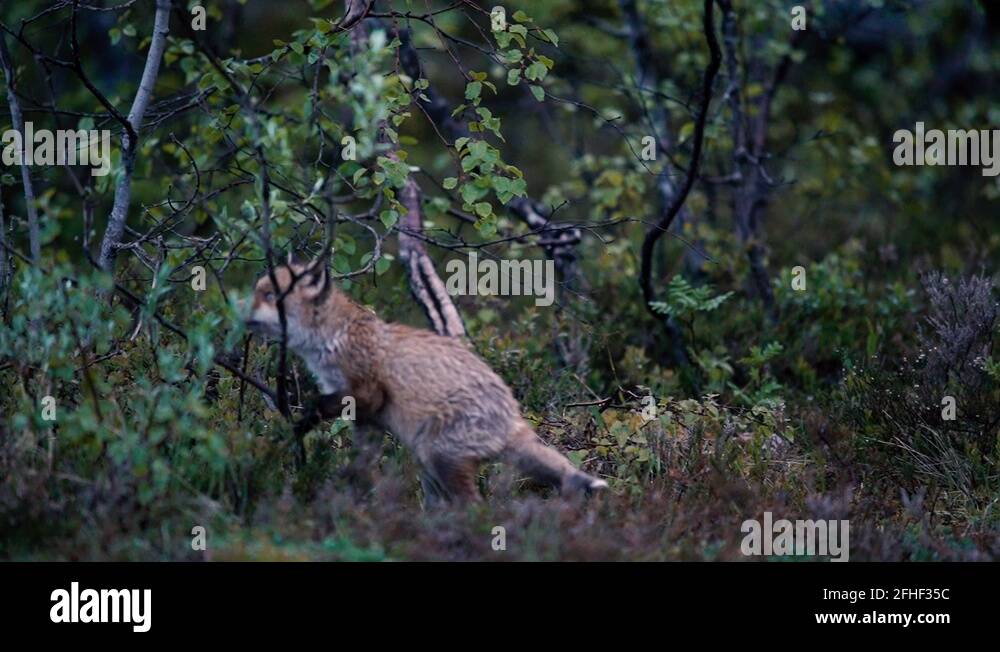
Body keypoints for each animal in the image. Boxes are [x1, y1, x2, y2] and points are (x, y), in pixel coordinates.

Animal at [245, 258, 608, 504]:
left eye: (269, 296)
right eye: (257, 291)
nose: (241, 313)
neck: (333, 335)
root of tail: (512, 414)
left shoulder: (368, 392)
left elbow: (319, 406)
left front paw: (299, 428)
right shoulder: (366, 418)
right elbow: (360, 465)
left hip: (439, 457)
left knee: (475, 508)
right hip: (431, 466)